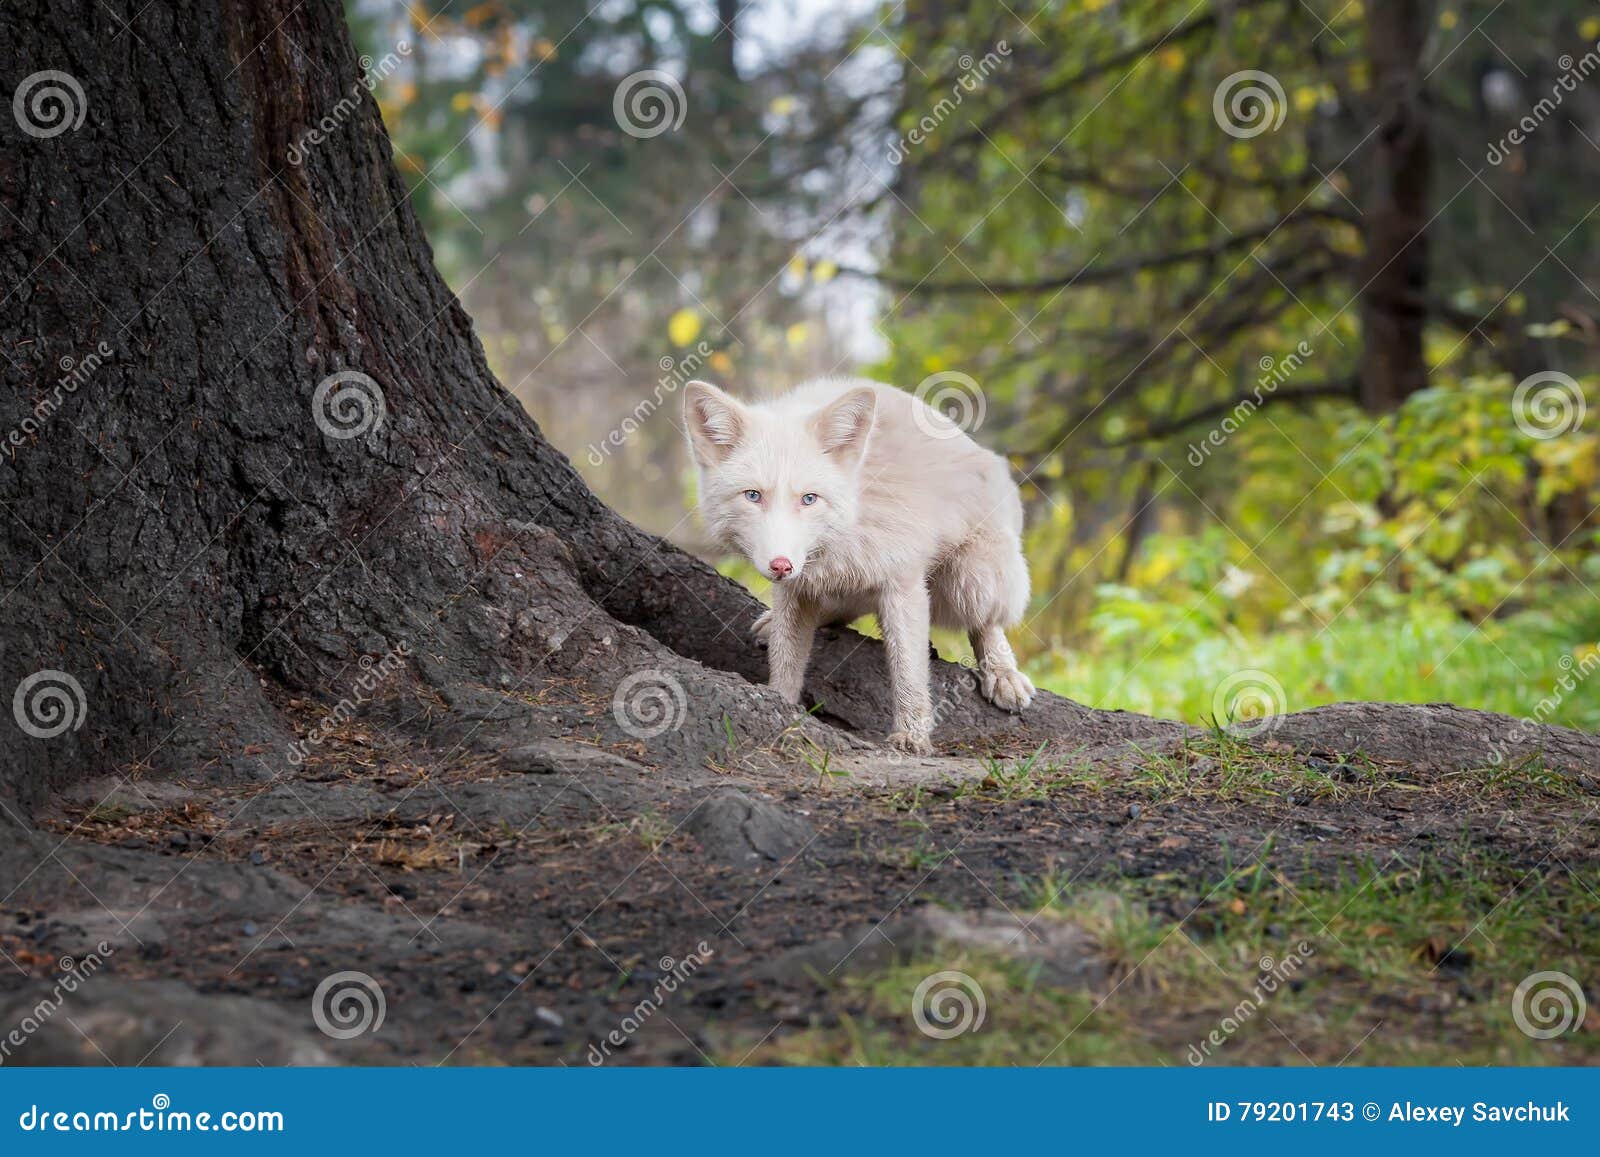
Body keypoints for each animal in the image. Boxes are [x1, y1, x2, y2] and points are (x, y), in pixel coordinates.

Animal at [683, 376, 1035, 754]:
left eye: (809, 499)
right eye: (753, 496)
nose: (781, 565)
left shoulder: (903, 579)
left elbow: (909, 670)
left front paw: (912, 735)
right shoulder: (797, 587)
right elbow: (786, 656)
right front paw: (781, 702)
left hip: (972, 577)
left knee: (989, 620)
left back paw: (1002, 672)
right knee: (844, 608)